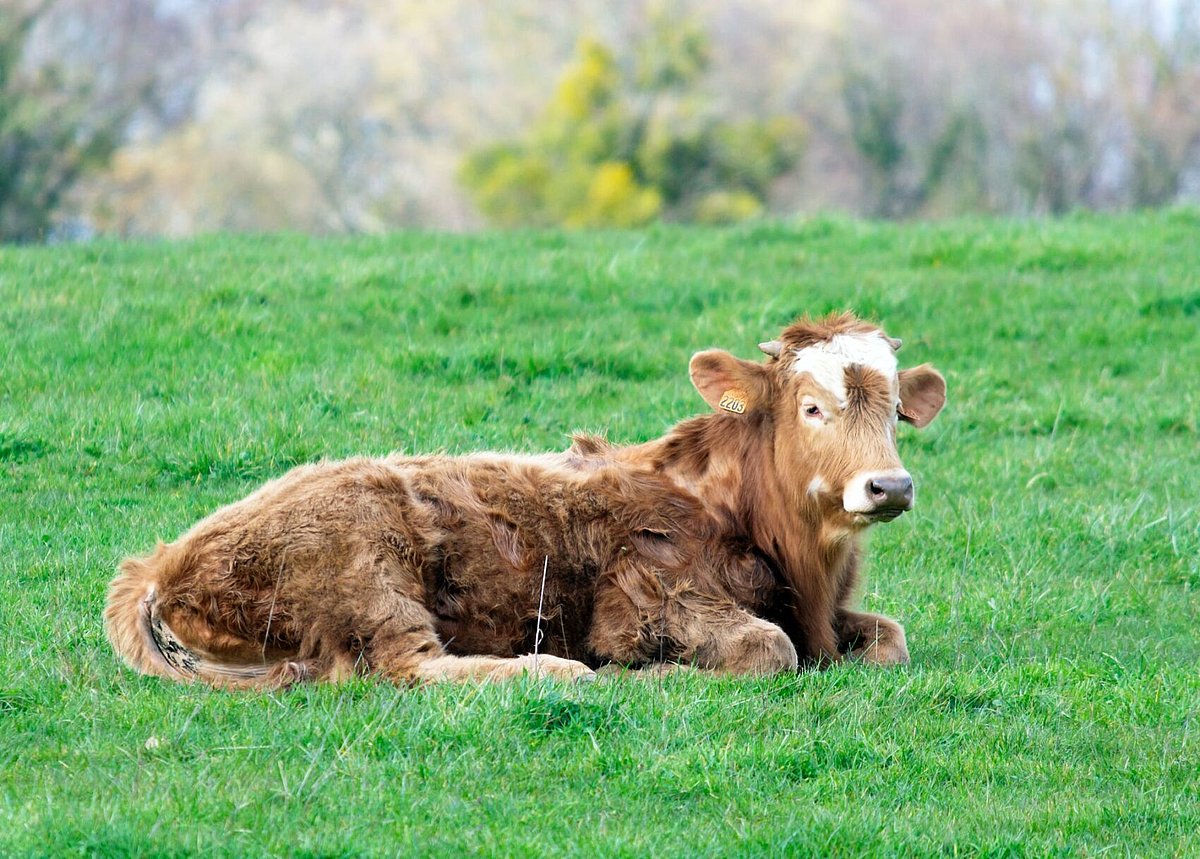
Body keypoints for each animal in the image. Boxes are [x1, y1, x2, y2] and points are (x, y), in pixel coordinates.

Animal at [105, 311, 946, 688]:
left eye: (897, 410)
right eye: (811, 406)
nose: (888, 485)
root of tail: (158, 564)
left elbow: (892, 637)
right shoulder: (651, 600)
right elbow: (768, 649)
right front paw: (650, 673)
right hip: (366, 572)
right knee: (410, 668)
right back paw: (557, 671)